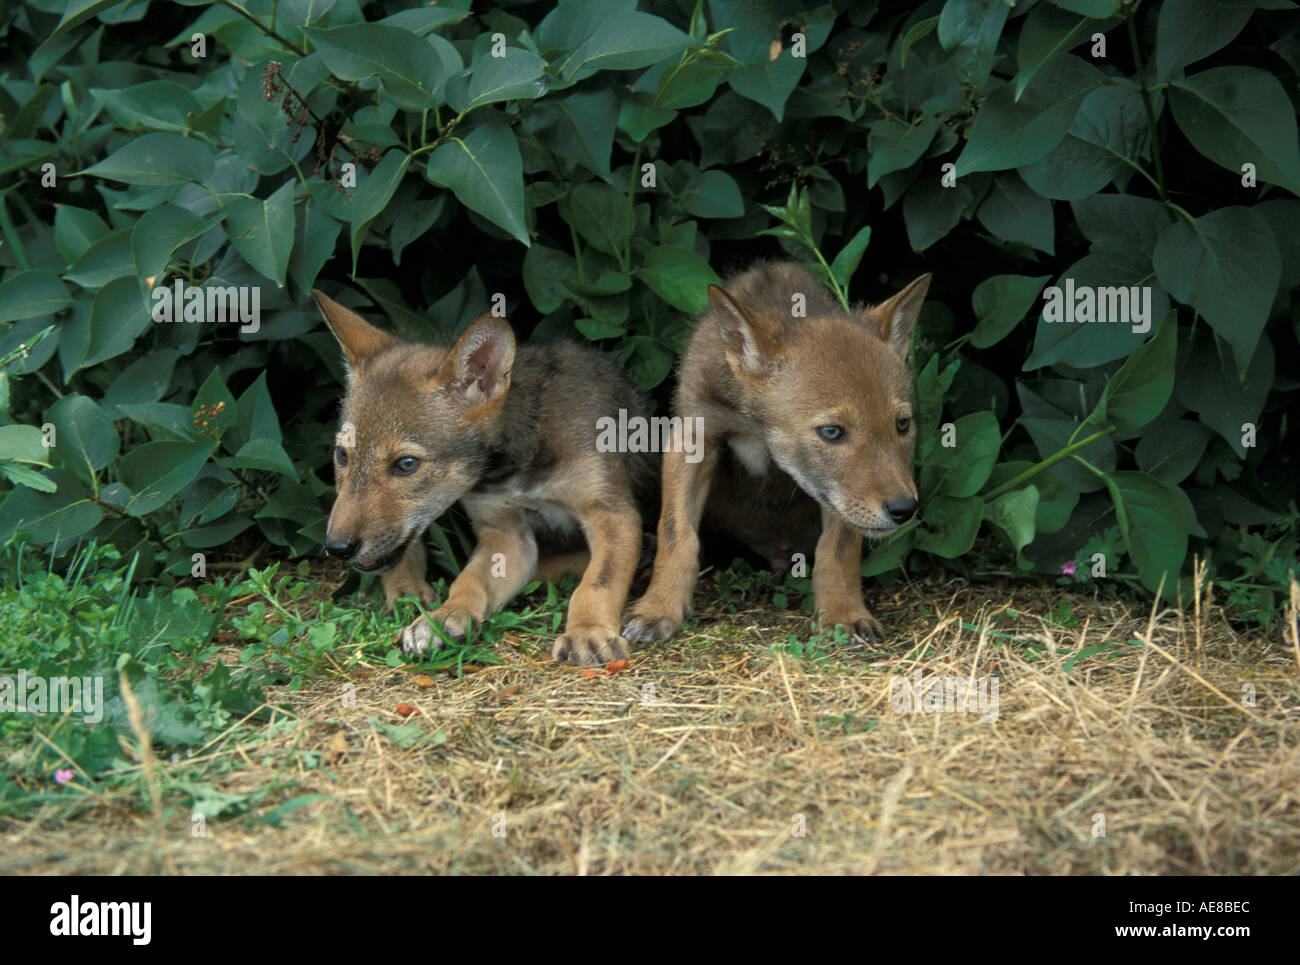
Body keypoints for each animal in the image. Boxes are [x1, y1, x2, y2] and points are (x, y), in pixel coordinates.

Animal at [313, 291, 650, 665]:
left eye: (406, 464)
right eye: (343, 456)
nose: (337, 548)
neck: (520, 464)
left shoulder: (610, 511)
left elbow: (598, 582)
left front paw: (587, 633)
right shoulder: (506, 534)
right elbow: (468, 581)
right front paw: (444, 617)